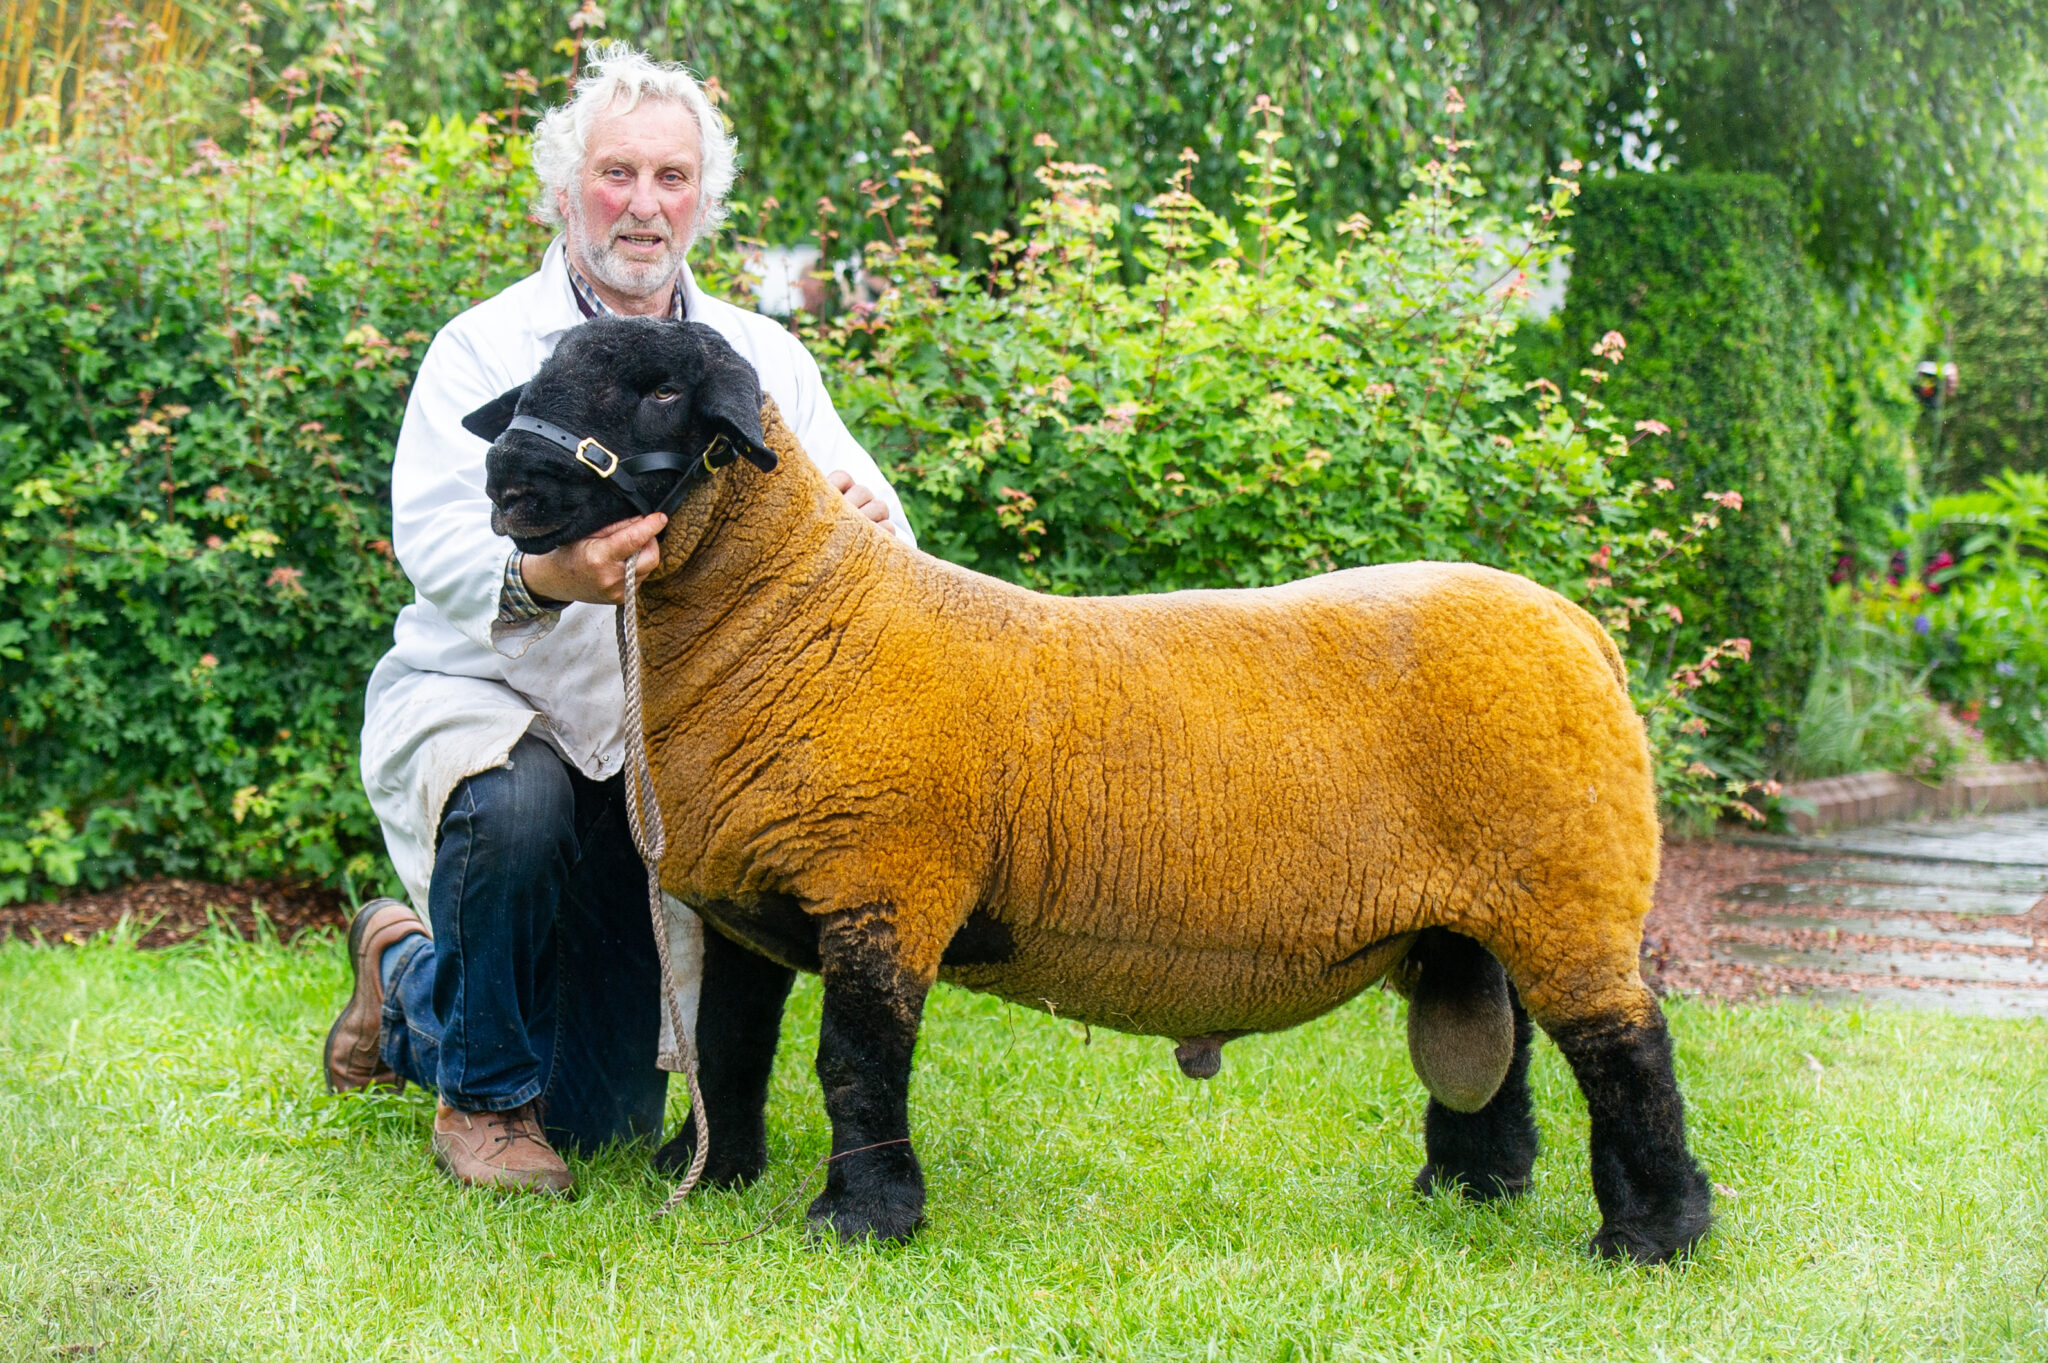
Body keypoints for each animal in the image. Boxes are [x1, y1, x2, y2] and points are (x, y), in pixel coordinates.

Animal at [474, 316, 1712, 1263]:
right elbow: (730, 1046)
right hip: (1485, 905)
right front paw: (710, 1175)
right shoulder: (755, 903)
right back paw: (1469, 1186)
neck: (793, 615)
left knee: (1626, 1051)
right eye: (543, 372)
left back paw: (1652, 1234)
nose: (506, 476)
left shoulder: (884, 885)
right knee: (1504, 1043)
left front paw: (863, 1219)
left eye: (663, 389)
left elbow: (854, 1065)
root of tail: (1578, 628)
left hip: (1570, 888)